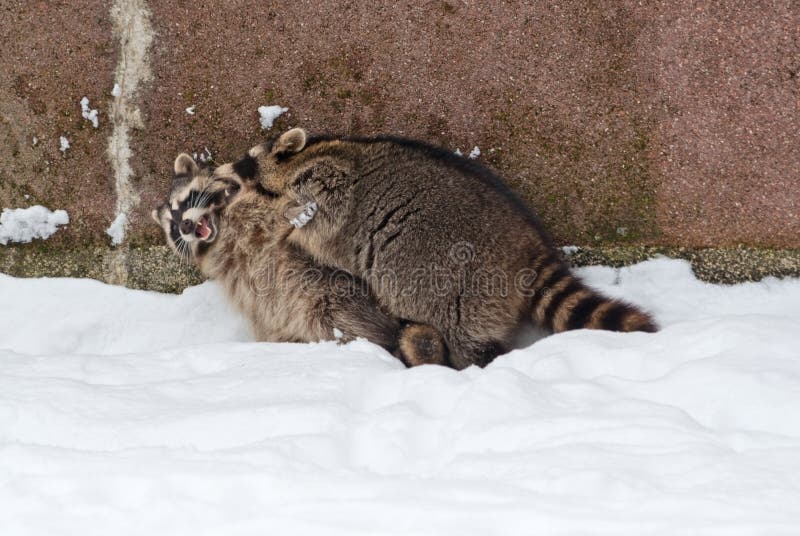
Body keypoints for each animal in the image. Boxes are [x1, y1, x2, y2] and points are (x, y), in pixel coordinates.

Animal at [151, 153, 447, 367]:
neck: (221, 228)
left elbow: (287, 216)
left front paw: (293, 212)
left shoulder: (259, 210)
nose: (185, 226)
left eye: (185, 201)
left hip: (332, 295)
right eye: (173, 226)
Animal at [216, 128, 657, 370]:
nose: (217, 170)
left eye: (245, 162)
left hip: (466, 284)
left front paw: (287, 223)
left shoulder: (325, 180)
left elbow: (321, 214)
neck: (304, 155)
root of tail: (527, 244)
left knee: (464, 333)